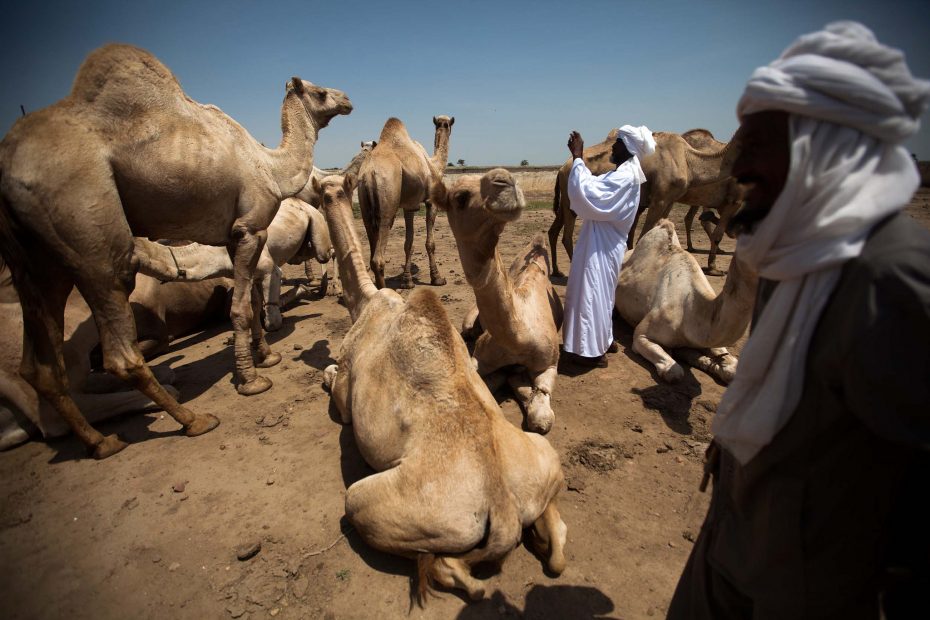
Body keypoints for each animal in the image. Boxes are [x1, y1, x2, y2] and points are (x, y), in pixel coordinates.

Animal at [0, 43, 352, 458]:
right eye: (320, 92)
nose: (348, 99)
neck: (267, 163)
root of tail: (9, 169)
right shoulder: (248, 229)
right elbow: (240, 309)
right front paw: (251, 379)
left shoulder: (233, 237)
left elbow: (248, 303)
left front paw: (266, 357)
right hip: (90, 235)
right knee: (117, 349)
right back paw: (192, 419)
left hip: (37, 261)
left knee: (39, 363)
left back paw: (100, 442)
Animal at [357, 116, 453, 289]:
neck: (433, 165)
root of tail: (369, 173)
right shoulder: (431, 202)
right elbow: (430, 243)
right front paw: (437, 279)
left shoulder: (410, 206)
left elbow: (409, 243)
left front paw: (407, 281)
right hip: (387, 199)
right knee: (378, 258)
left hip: (364, 204)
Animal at [431, 169, 563, 434]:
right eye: (460, 196)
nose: (506, 181)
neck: (518, 337)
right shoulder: (481, 355)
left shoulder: (550, 363)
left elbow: (542, 418)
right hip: (468, 324)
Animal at [548, 129, 734, 276]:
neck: (689, 160)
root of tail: (562, 168)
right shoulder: (660, 198)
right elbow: (644, 233)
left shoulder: (669, 200)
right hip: (571, 200)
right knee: (566, 236)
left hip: (565, 202)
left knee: (554, 230)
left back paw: (557, 271)